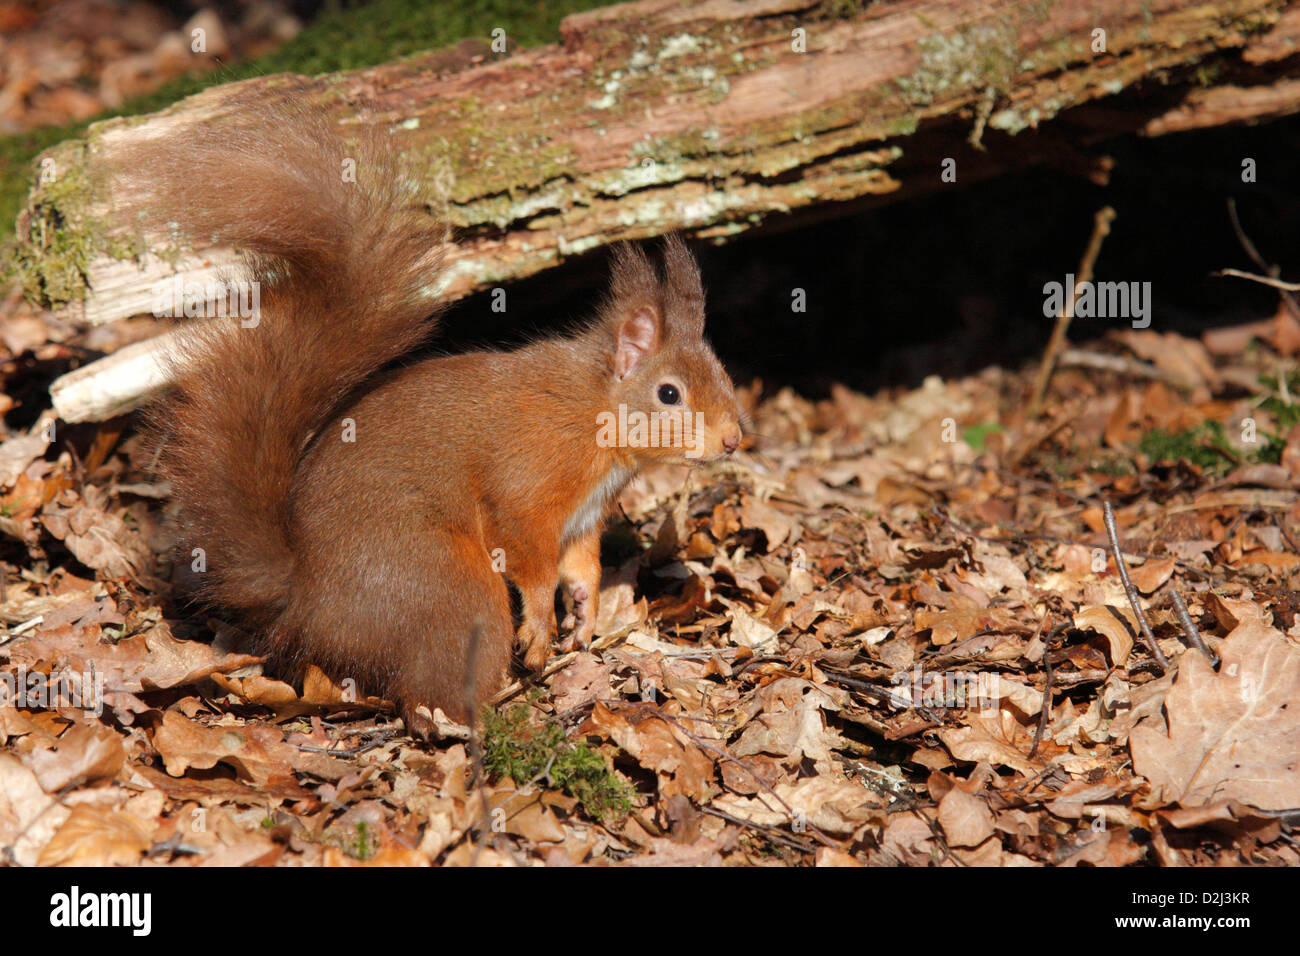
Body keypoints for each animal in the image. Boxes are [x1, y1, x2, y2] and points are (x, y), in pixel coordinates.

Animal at [109, 98, 742, 737]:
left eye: (721, 370)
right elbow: (533, 563)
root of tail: (306, 602)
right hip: (447, 585)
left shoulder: (582, 519)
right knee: (432, 686)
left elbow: (581, 569)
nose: (734, 440)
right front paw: (541, 628)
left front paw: (582, 620)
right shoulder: (529, 488)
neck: (594, 413)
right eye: (669, 393)